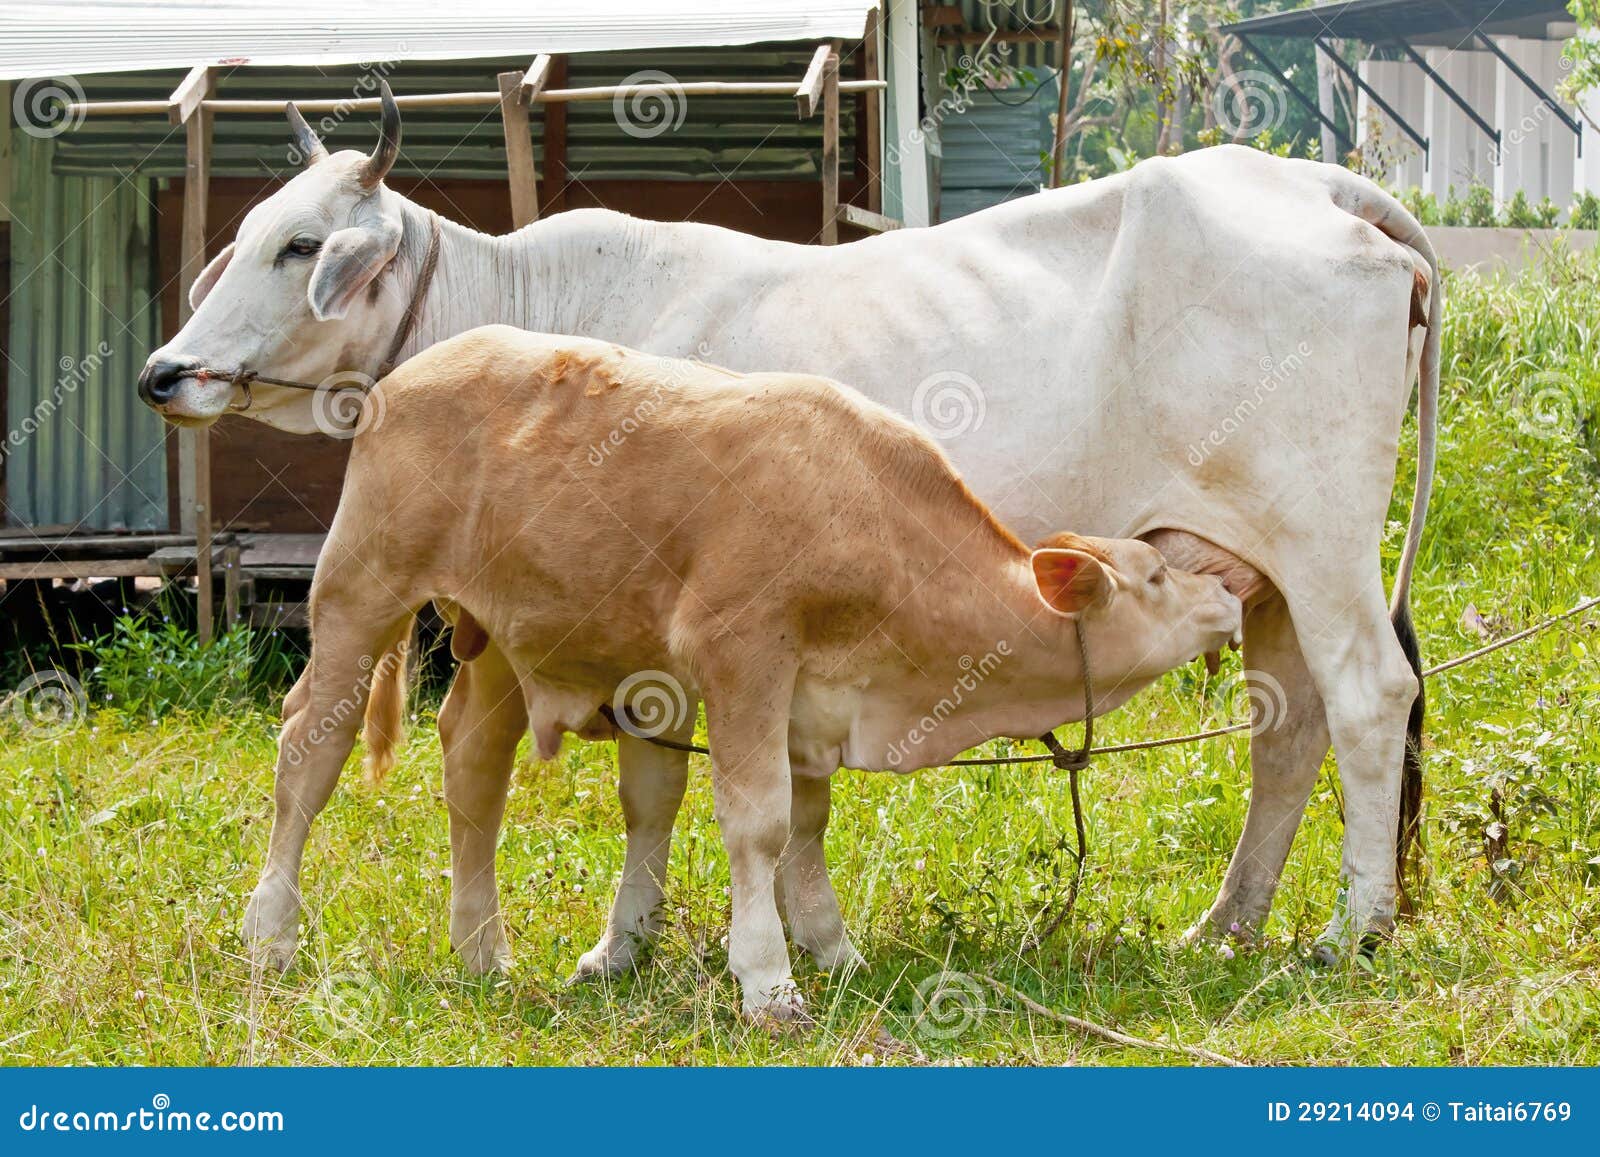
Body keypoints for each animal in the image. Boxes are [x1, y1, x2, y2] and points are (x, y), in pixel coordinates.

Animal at [253, 326, 1248, 1021]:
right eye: (1155, 579)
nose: (1230, 592)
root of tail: (412, 370)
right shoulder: (744, 653)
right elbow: (760, 822)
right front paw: (769, 980)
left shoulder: (813, 699)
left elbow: (805, 824)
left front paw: (832, 947)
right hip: (360, 589)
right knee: (309, 750)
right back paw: (272, 934)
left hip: (499, 633)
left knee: (473, 766)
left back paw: (481, 951)